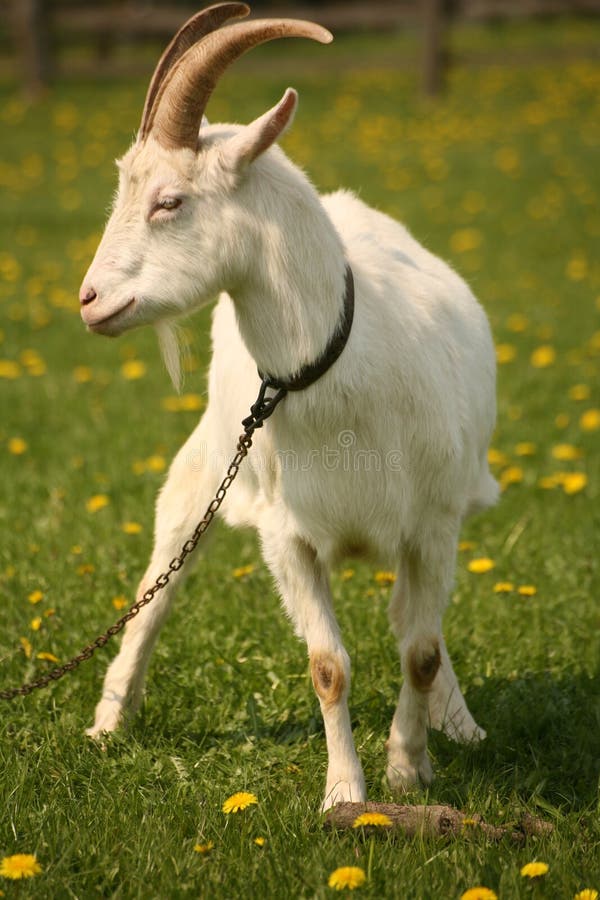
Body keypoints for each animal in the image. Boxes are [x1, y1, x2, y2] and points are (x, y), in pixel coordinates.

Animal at [80, 3, 499, 809]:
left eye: (169, 201)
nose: (88, 301)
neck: (339, 372)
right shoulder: (289, 534)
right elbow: (328, 666)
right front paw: (346, 795)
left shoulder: (432, 520)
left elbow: (421, 651)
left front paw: (409, 768)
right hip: (208, 465)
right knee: (160, 578)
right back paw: (109, 720)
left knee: (416, 623)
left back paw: (458, 723)